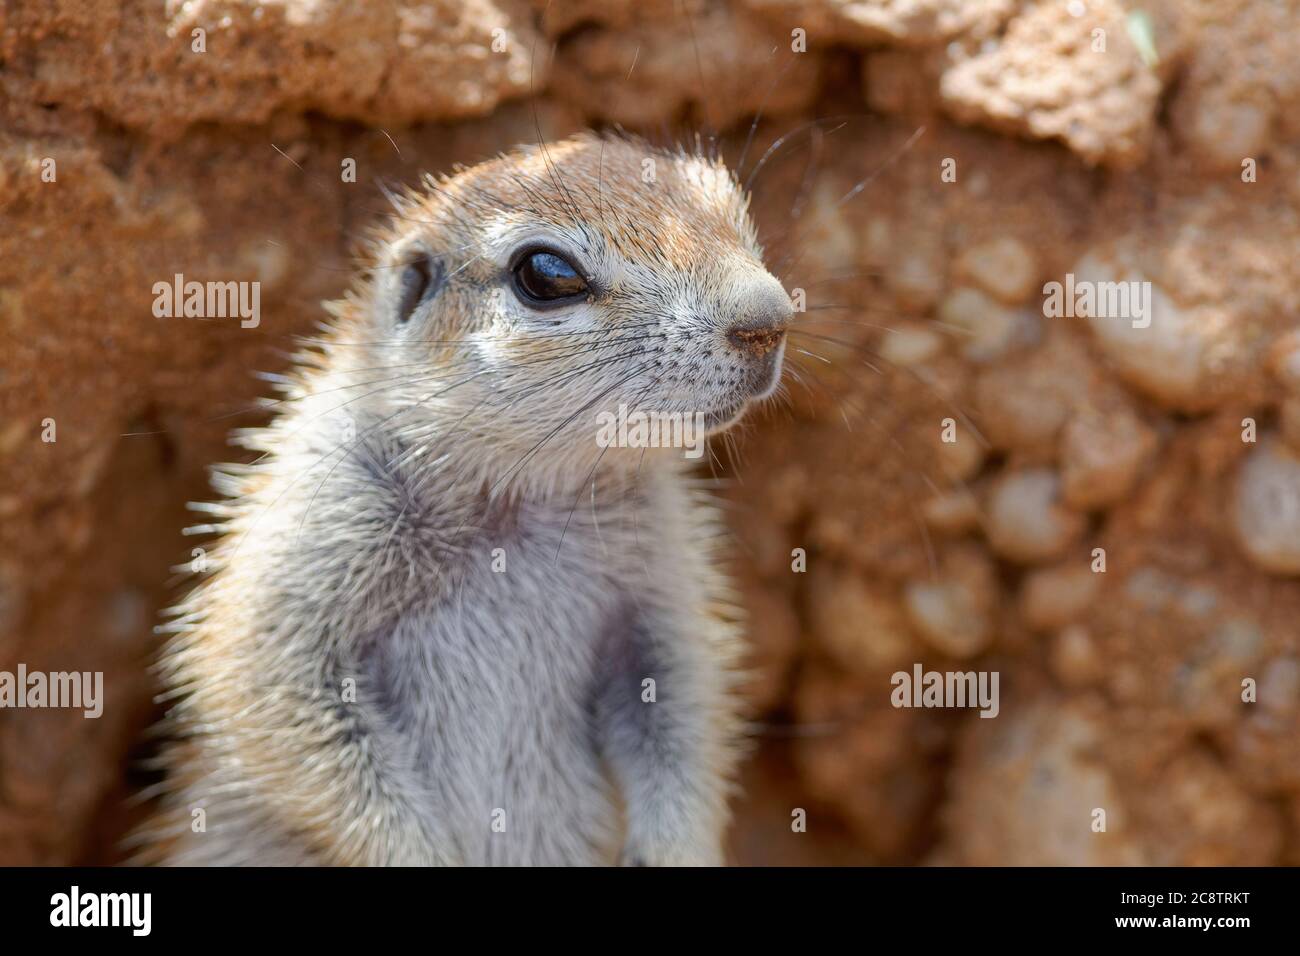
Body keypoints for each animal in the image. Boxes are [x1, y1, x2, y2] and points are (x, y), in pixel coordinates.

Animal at [143, 132, 792, 865]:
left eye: (734, 212)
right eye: (546, 274)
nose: (770, 318)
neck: (515, 500)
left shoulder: (661, 578)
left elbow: (685, 698)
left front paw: (674, 849)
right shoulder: (313, 532)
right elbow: (263, 686)